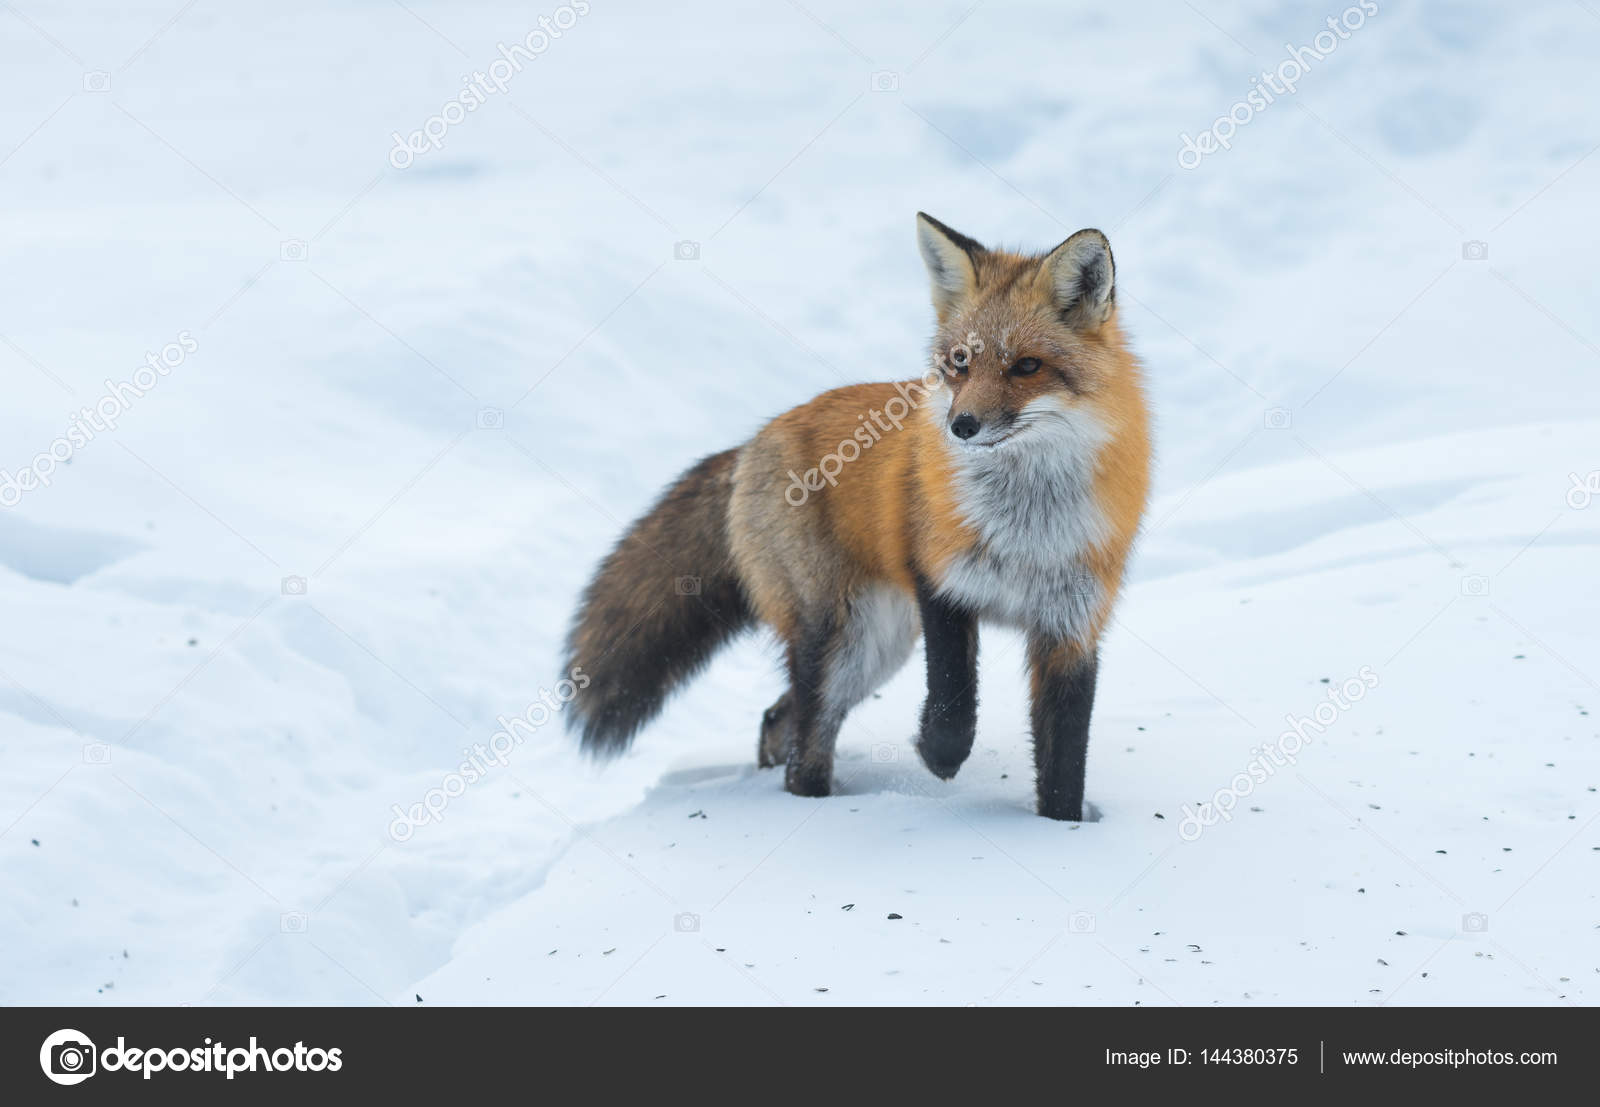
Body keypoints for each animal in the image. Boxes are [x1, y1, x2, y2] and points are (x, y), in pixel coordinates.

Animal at [564, 213, 1151, 820]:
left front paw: (1063, 833)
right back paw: (815, 807)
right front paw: (939, 756)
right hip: (847, 639)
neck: (1026, 531)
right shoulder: (939, 583)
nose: (961, 426)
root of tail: (752, 444)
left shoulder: (1072, 627)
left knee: (779, 719)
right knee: (805, 739)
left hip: (879, 648)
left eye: (1027, 366)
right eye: (960, 363)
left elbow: (1065, 761)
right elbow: (952, 701)